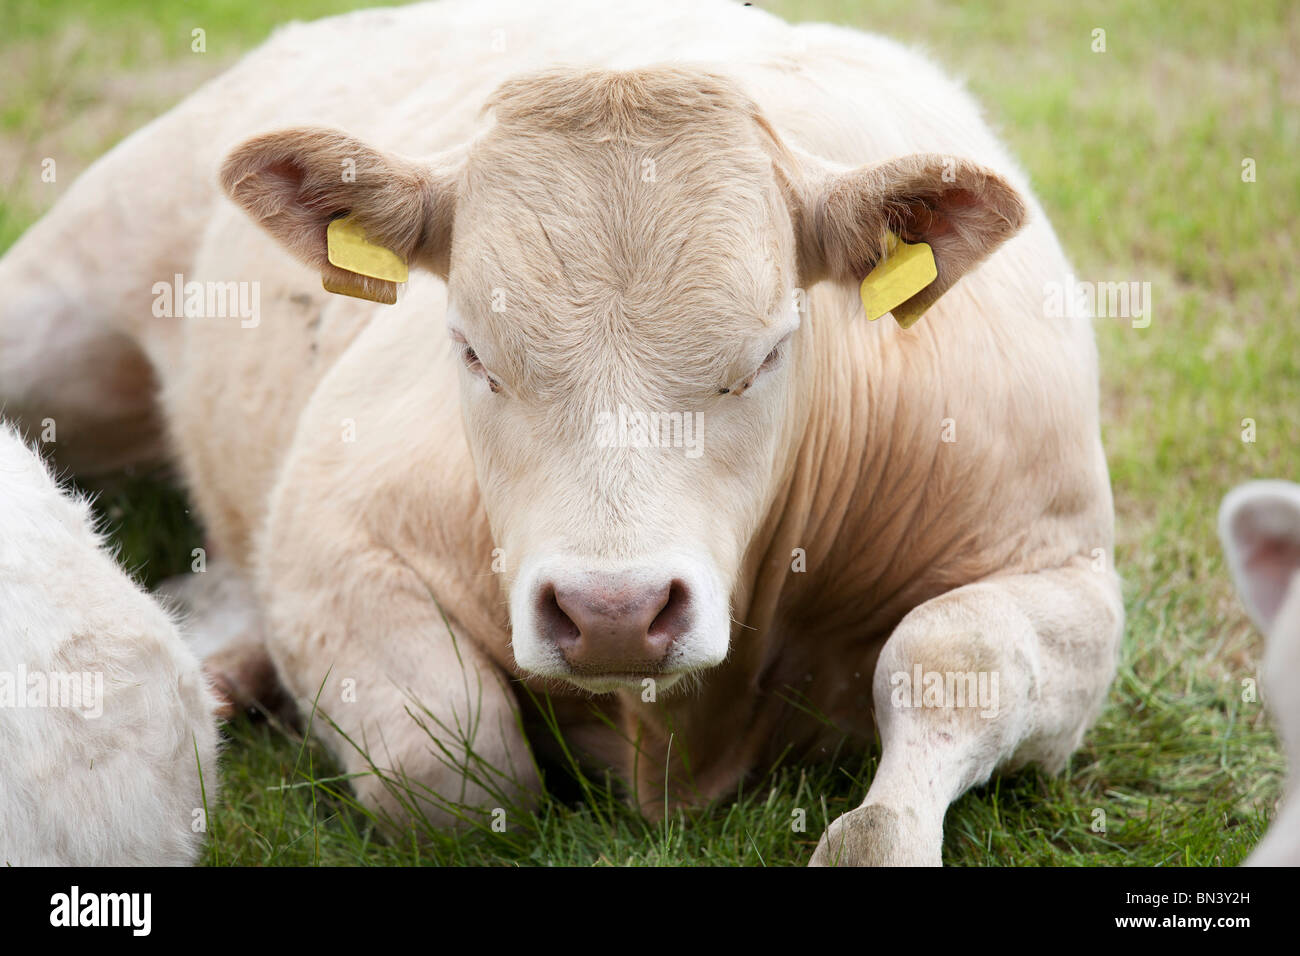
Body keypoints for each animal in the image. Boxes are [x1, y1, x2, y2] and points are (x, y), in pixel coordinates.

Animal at [0, 0, 1123, 865]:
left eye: (767, 352)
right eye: (471, 348)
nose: (613, 611)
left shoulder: (1063, 560)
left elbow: (951, 651)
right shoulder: (328, 541)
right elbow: (454, 767)